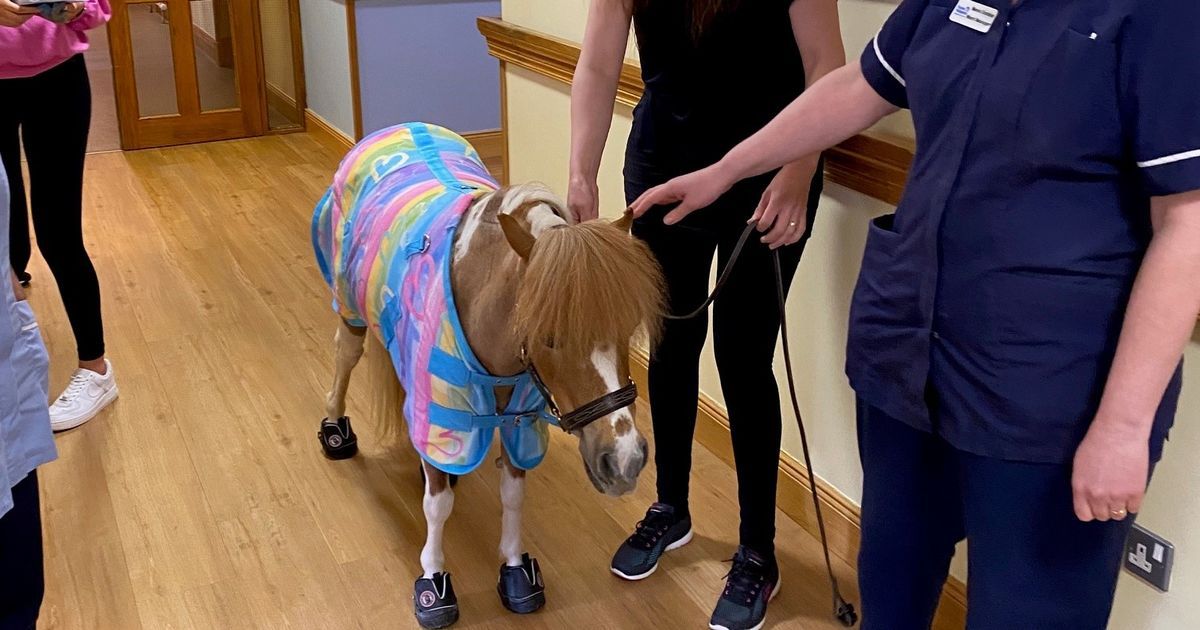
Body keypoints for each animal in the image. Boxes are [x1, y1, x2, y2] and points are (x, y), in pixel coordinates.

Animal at [311, 123, 664, 628]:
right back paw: (335, 427)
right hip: (350, 307)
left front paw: (515, 568)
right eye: (549, 335)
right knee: (345, 356)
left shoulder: (521, 420)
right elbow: (437, 508)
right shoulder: (444, 413)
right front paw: (432, 581)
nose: (625, 461)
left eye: (626, 324)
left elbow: (513, 494)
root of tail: (395, 129)